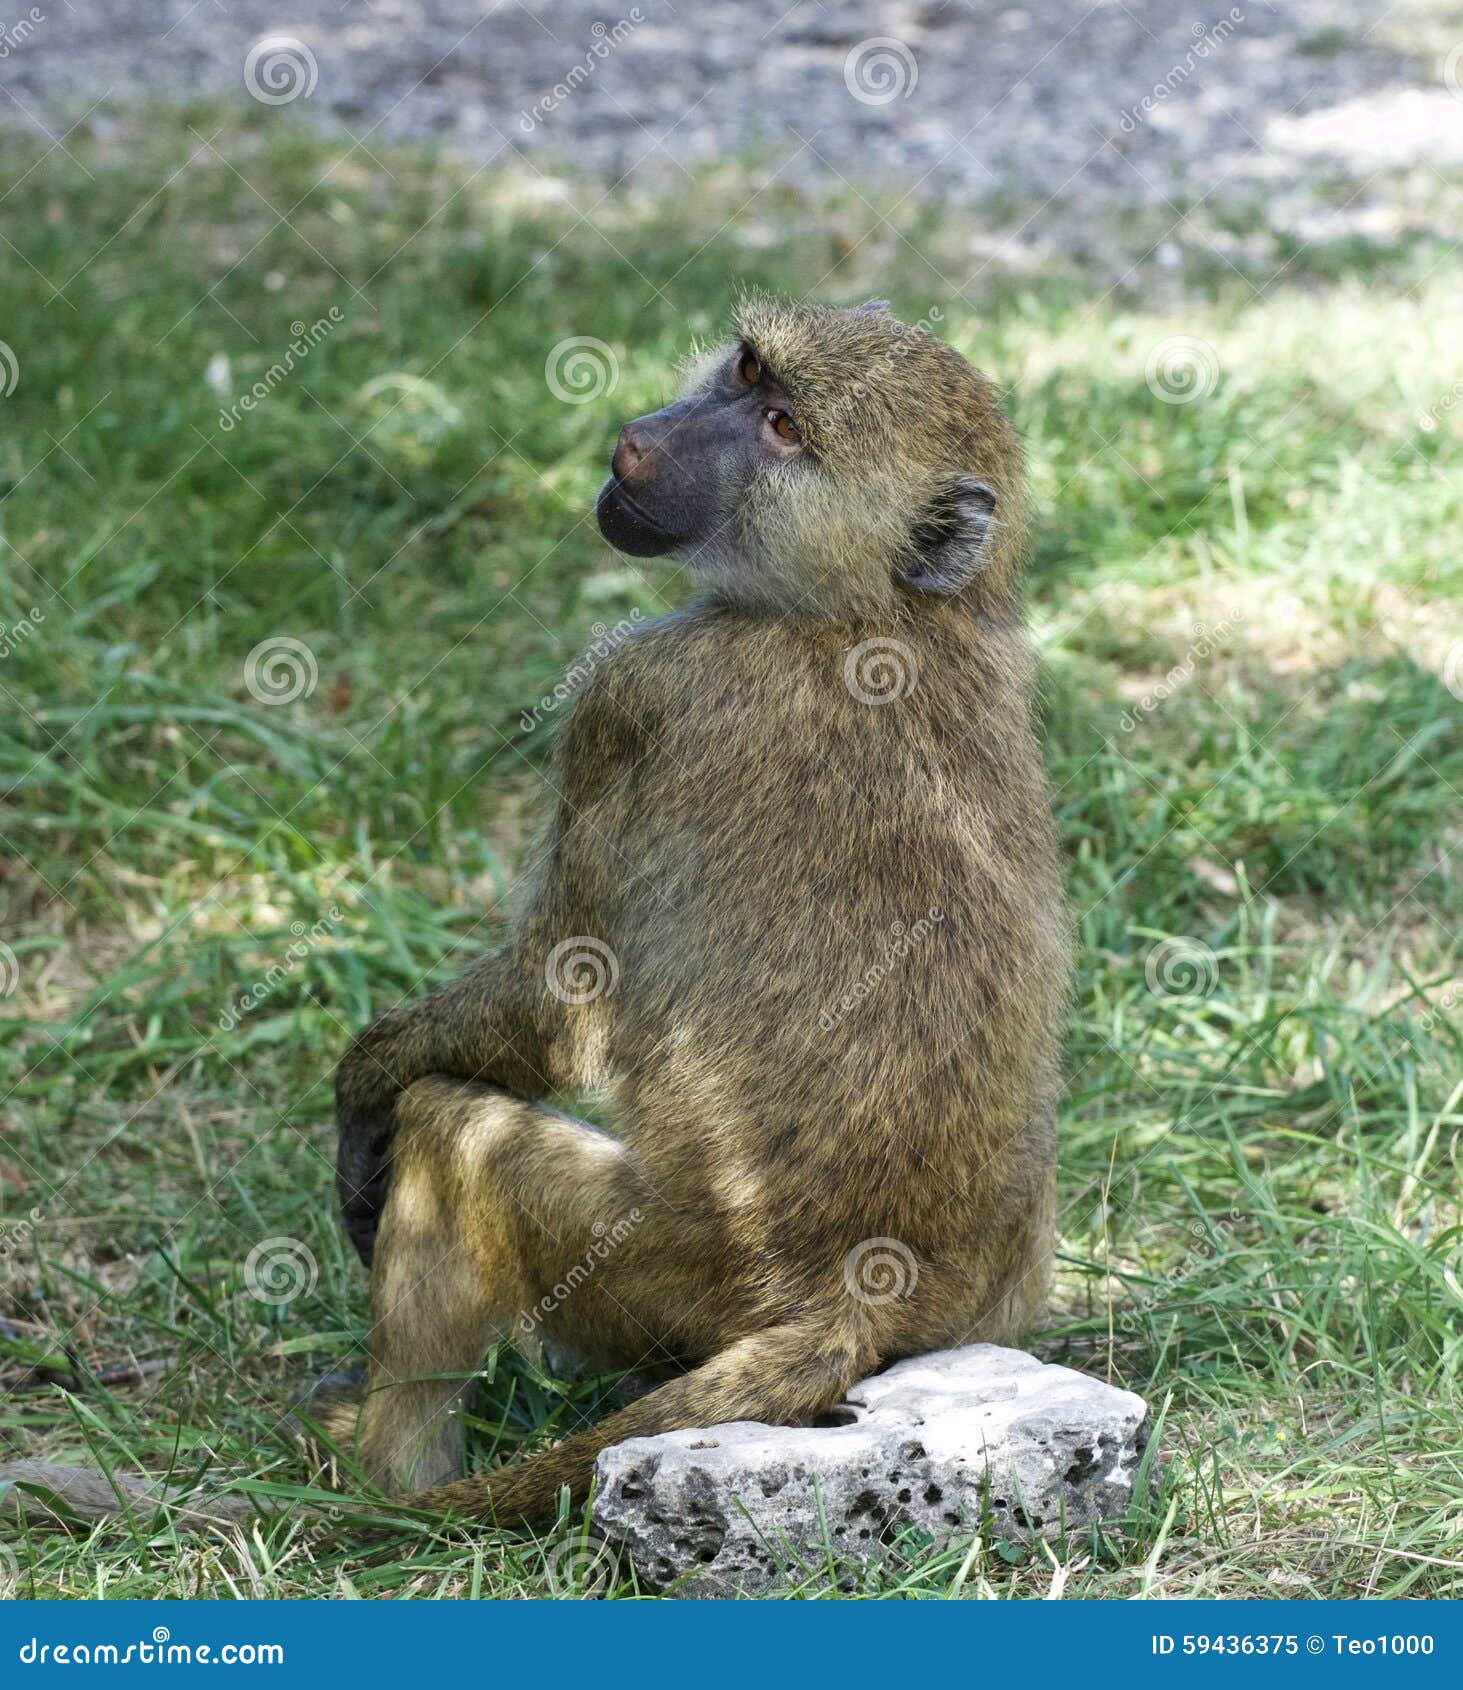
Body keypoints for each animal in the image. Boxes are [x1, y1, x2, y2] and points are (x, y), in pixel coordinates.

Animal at [1, 297, 1069, 1534]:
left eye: (786, 428)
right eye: (745, 373)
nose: (641, 441)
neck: (883, 607)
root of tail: (860, 1302)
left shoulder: (631, 693)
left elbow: (555, 999)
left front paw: (361, 1098)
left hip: (659, 1262)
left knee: (456, 1134)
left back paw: (378, 1473)